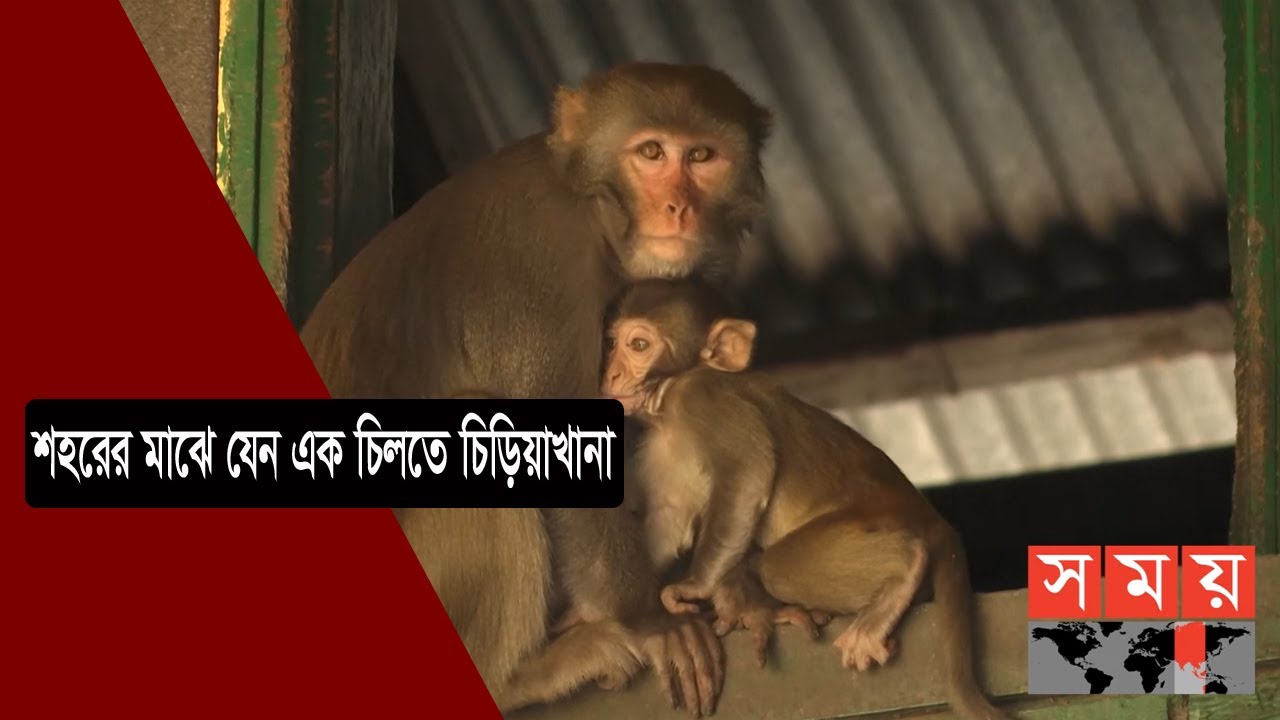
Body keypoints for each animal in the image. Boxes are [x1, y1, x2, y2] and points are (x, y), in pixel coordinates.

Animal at [299, 63, 773, 716]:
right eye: (652, 152)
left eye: (702, 156)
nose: (678, 208)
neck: (592, 210)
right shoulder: (538, 267)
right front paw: (651, 620)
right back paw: (516, 677)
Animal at [600, 278, 1013, 720]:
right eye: (613, 343)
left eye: (639, 345)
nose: (611, 372)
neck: (672, 392)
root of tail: (929, 516)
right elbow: (671, 519)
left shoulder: (706, 397)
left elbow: (747, 473)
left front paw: (692, 589)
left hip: (867, 525)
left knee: (781, 567)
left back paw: (900, 572)